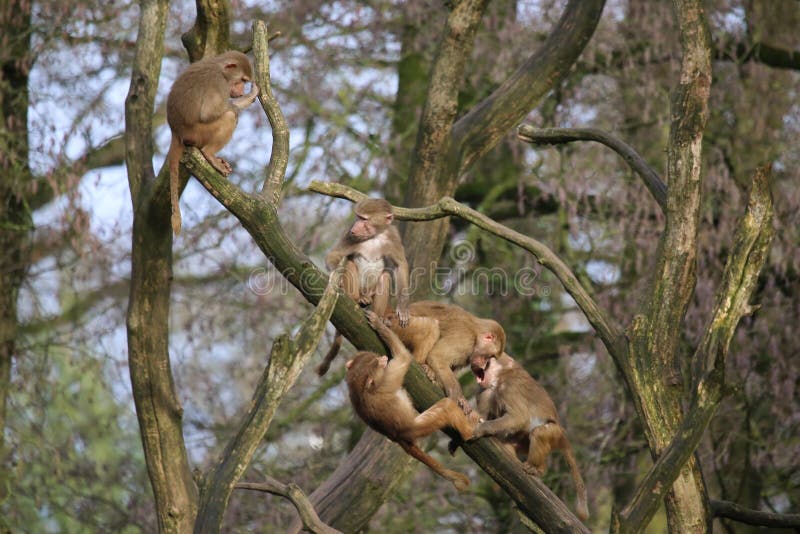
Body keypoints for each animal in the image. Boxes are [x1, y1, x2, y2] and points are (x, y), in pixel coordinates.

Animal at [166, 51, 260, 235]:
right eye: (242, 80)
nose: (241, 91)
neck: (221, 70)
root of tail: (175, 131)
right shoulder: (218, 84)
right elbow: (209, 113)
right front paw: (243, 102)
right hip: (197, 133)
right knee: (229, 117)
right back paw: (209, 154)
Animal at [316, 198, 410, 376]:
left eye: (364, 219)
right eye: (358, 217)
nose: (355, 226)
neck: (374, 237)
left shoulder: (392, 236)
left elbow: (400, 265)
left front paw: (403, 306)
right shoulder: (349, 235)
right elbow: (334, 256)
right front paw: (336, 278)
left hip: (371, 292)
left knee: (385, 277)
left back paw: (377, 318)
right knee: (349, 262)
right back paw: (355, 299)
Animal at [344, 310, 474, 491]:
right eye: (376, 362)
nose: (382, 358)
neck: (360, 388)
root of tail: (397, 437)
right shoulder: (387, 379)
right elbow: (404, 357)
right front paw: (380, 325)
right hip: (418, 427)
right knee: (446, 407)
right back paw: (469, 431)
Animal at [468, 353, 589, 521]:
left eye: (485, 357)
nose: (473, 362)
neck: (500, 375)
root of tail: (562, 434)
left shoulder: (509, 388)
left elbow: (519, 417)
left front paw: (482, 428)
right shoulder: (484, 391)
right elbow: (484, 413)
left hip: (554, 432)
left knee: (539, 432)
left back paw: (538, 469)